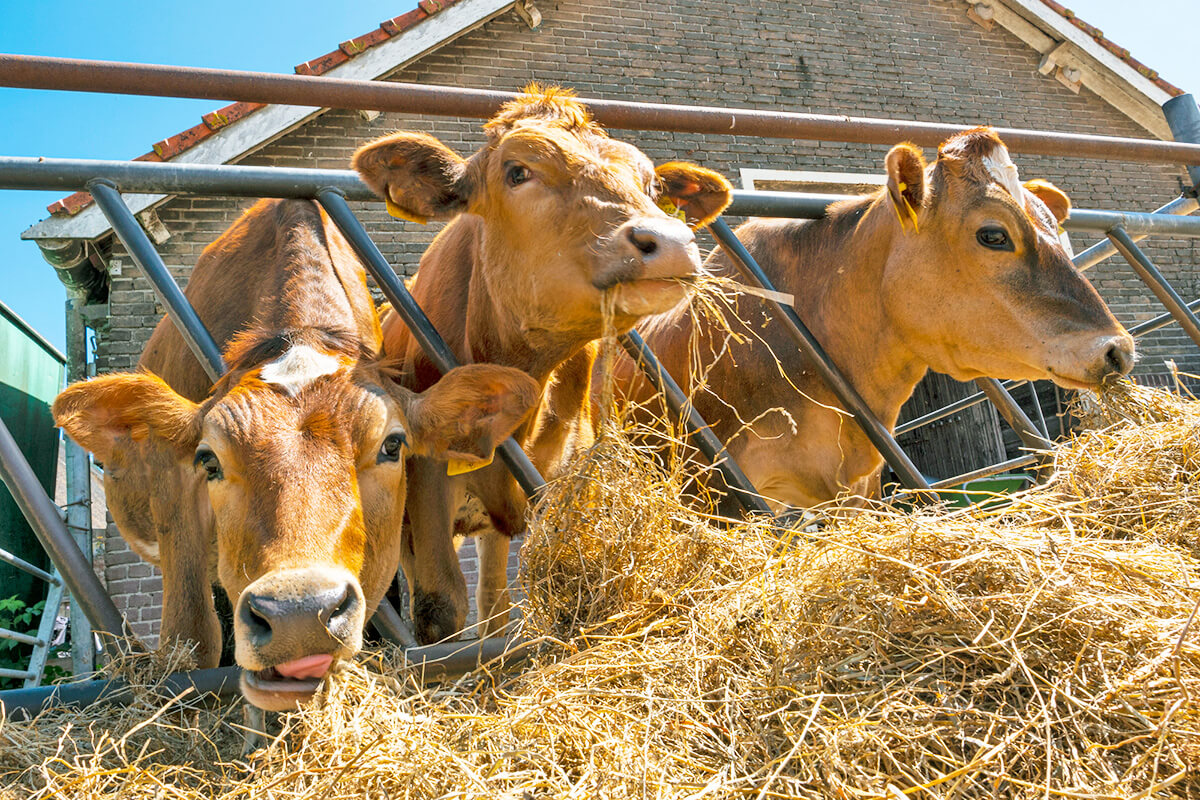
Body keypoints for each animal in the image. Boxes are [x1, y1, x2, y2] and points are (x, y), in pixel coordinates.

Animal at [351, 85, 733, 642]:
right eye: (518, 172)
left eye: (652, 184)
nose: (672, 242)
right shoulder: (424, 489)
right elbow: (440, 609)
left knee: (494, 603)